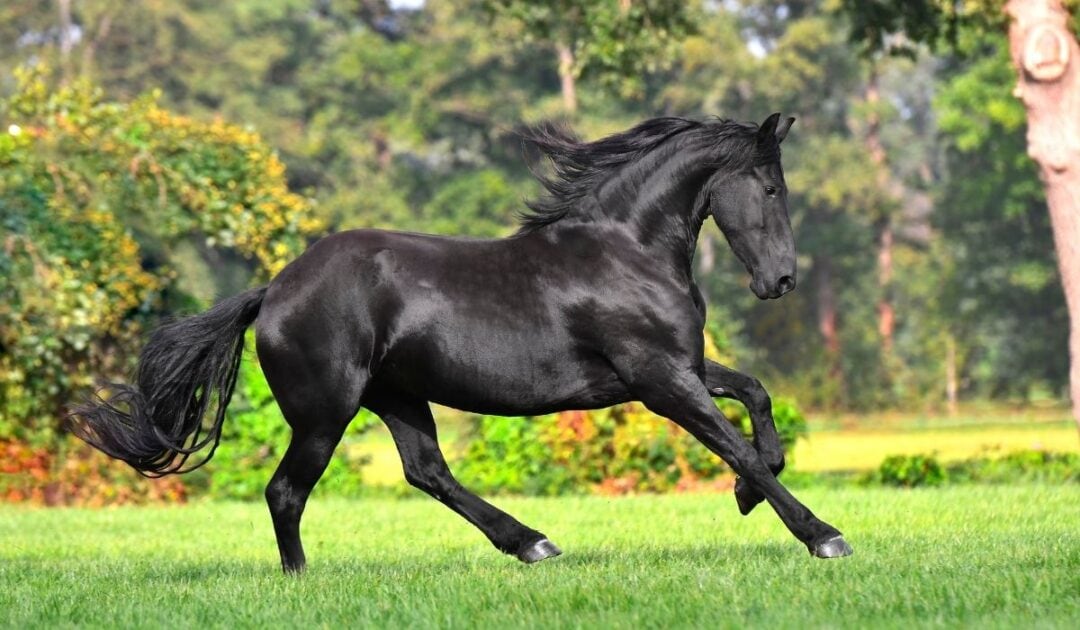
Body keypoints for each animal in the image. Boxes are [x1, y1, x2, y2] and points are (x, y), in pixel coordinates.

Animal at [71, 112, 852, 573]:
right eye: (772, 187)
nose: (781, 280)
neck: (624, 250)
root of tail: (275, 289)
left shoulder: (674, 368)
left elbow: (755, 397)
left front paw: (749, 495)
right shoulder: (659, 379)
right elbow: (733, 442)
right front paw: (821, 534)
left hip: (397, 397)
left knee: (428, 474)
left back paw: (533, 543)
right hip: (326, 412)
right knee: (287, 491)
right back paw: (301, 579)